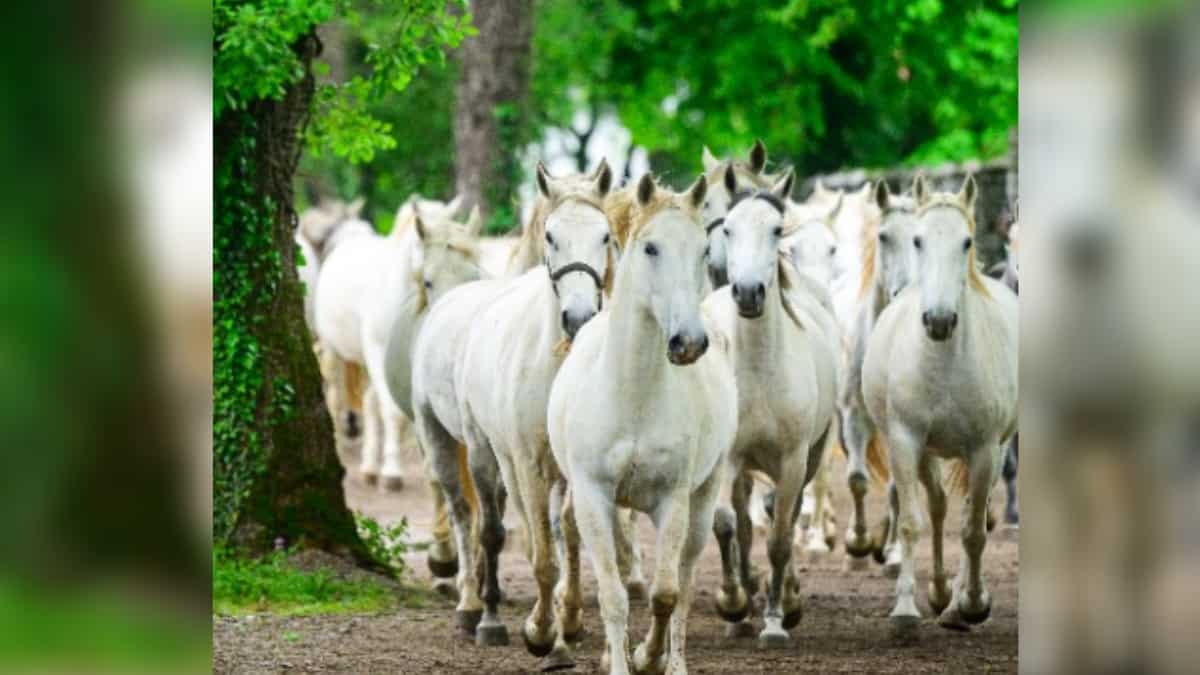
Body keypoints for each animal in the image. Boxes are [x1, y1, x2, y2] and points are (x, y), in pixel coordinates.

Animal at [314, 193, 463, 489]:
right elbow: (393, 412)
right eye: (423, 237)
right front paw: (392, 473)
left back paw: (370, 467)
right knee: (336, 394)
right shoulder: (376, 350)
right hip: (336, 351)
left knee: (370, 402)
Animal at [548, 171, 735, 675]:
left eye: (703, 249)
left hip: (702, 501)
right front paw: (619, 661)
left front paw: (650, 658)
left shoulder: (672, 500)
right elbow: (613, 597)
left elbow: (666, 594)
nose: (689, 342)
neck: (632, 395)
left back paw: (673, 660)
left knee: (684, 584)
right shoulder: (593, 497)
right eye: (651, 248)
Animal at [703, 166, 839, 647]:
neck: (760, 367)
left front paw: (778, 619)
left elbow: (780, 537)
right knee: (743, 525)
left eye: (777, 230)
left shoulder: (794, 459)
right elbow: (726, 524)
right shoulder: (728, 459)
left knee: (788, 516)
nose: (747, 293)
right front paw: (732, 601)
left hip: (811, 457)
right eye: (728, 228)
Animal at [861, 174, 1017, 636]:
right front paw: (905, 611)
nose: (940, 320)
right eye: (918, 240)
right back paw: (939, 593)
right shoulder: (905, 441)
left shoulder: (984, 449)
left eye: (967, 242)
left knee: (969, 514)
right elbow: (913, 522)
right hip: (927, 452)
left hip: (998, 448)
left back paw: (957, 603)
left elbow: (973, 530)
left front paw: (972, 605)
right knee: (937, 507)